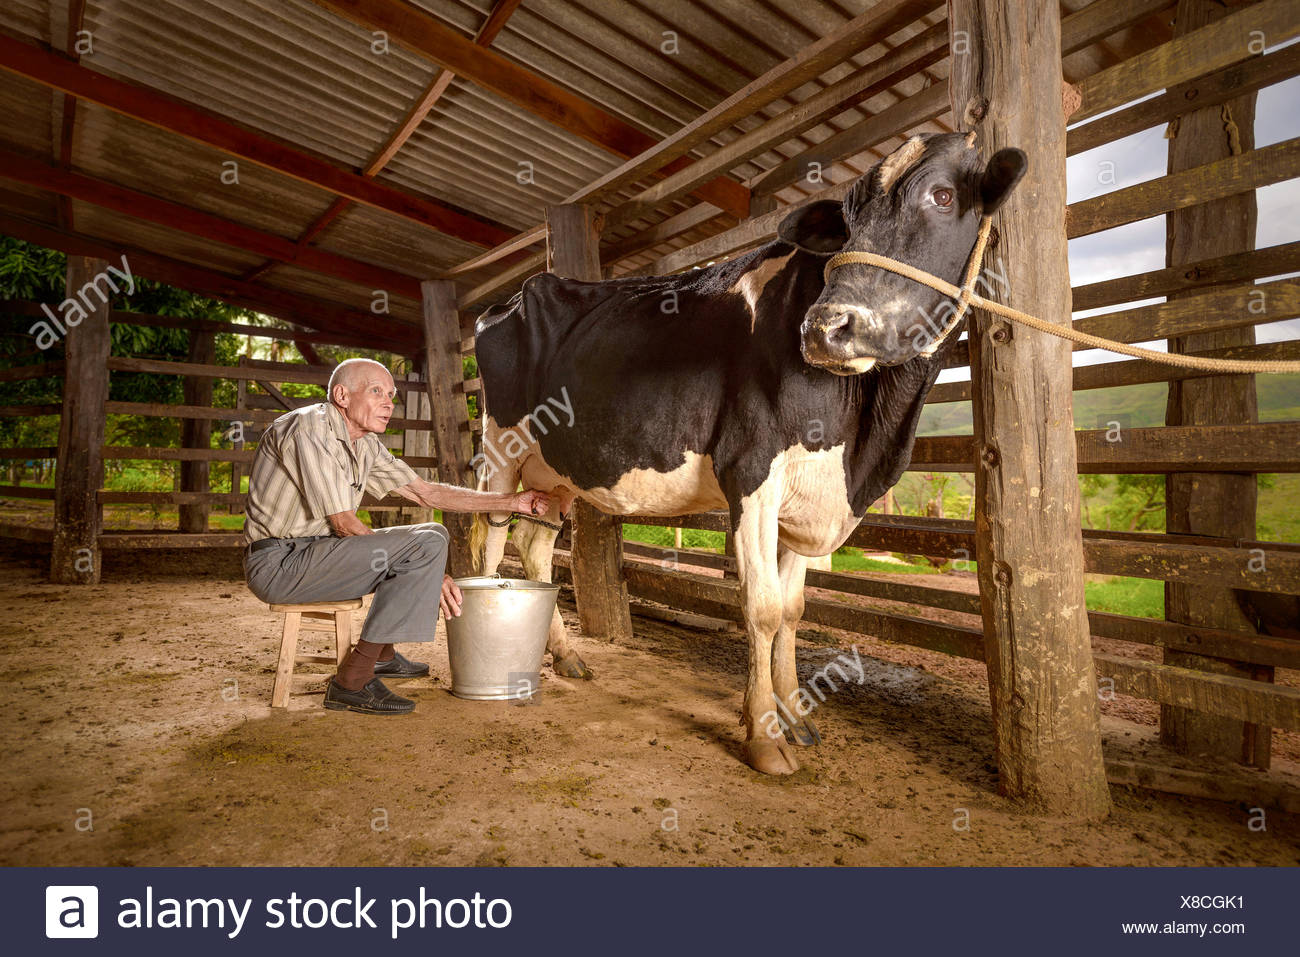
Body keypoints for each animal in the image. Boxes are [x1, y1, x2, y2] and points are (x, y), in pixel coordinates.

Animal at [468, 132, 1027, 775]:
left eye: (942, 196)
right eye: (849, 217)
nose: (825, 328)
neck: (865, 446)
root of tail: (516, 295)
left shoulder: (806, 496)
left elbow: (794, 609)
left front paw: (794, 716)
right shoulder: (753, 470)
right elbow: (760, 607)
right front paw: (764, 736)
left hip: (557, 473)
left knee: (535, 549)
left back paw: (565, 657)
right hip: (501, 451)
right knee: (490, 545)